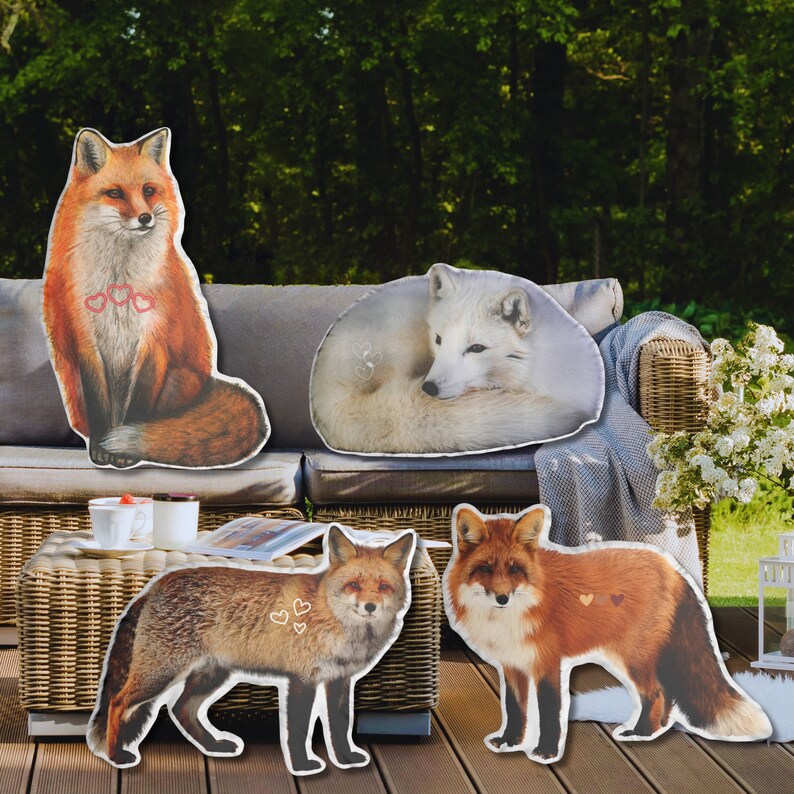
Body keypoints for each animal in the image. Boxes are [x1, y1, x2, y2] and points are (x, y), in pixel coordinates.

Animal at [42, 127, 269, 469]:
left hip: (177, 378)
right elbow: (98, 405)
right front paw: (99, 451)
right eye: (115, 193)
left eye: (149, 190)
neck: (119, 284)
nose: (145, 218)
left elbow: (139, 404)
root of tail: (210, 382)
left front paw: (122, 454)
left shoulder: (155, 341)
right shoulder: (86, 341)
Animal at [87, 526, 416, 775]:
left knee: (180, 709)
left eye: (383, 587)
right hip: (161, 674)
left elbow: (340, 726)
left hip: (212, 675)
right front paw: (302, 766)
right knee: (118, 702)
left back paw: (214, 746)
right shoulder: (302, 679)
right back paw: (116, 757)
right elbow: (298, 729)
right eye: (354, 585)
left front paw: (346, 761)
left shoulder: (340, 679)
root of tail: (152, 587)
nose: (370, 607)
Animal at [443, 504, 772, 764]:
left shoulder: (547, 665)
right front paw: (510, 742)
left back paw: (641, 732)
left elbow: (549, 713)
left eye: (514, 570)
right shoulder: (512, 665)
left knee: (656, 693)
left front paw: (547, 753)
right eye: (485, 568)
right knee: (665, 696)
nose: (502, 598)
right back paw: (654, 731)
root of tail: (673, 567)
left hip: (633, 658)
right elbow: (515, 710)